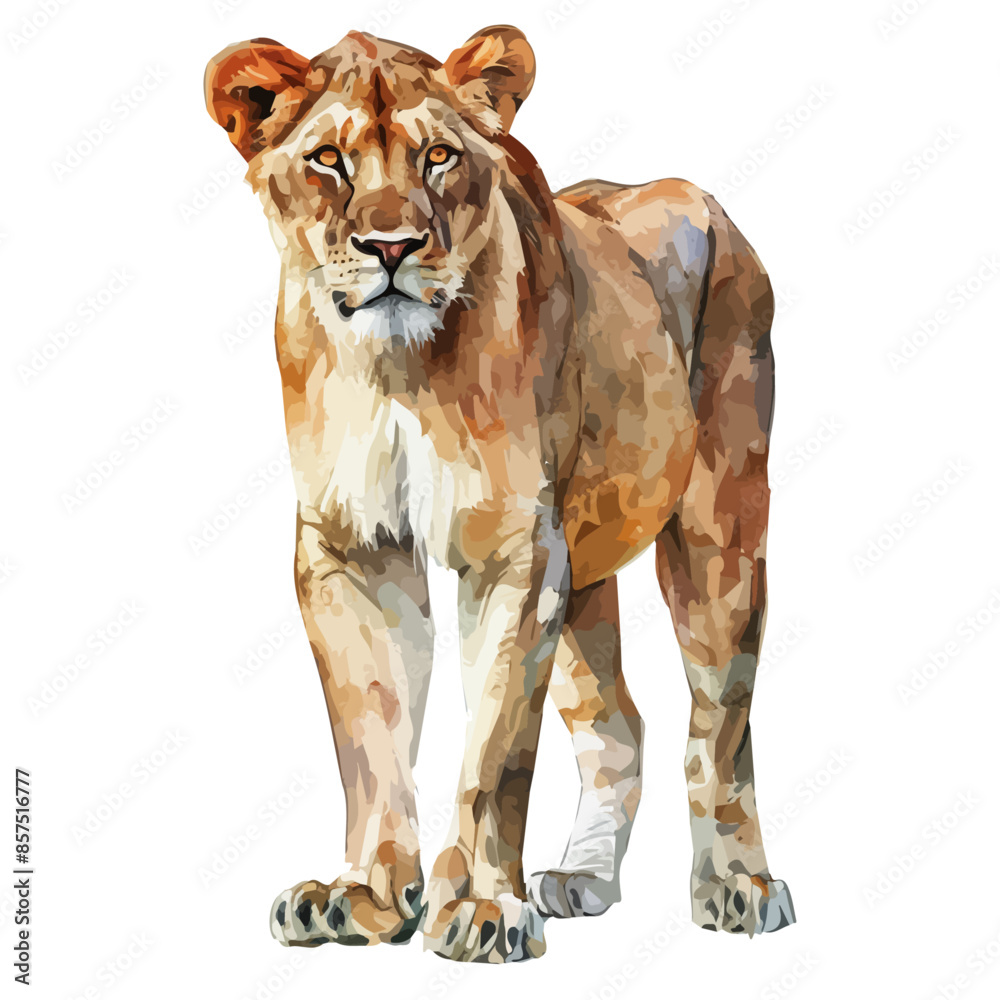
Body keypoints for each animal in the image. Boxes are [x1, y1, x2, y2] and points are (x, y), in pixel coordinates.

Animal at [204, 25, 795, 963]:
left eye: (438, 156)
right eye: (329, 159)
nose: (391, 247)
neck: (395, 369)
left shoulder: (518, 550)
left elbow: (495, 748)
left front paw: (483, 907)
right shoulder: (350, 549)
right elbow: (370, 737)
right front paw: (366, 897)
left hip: (720, 528)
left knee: (719, 726)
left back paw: (739, 886)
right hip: (586, 573)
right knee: (618, 725)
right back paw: (582, 878)